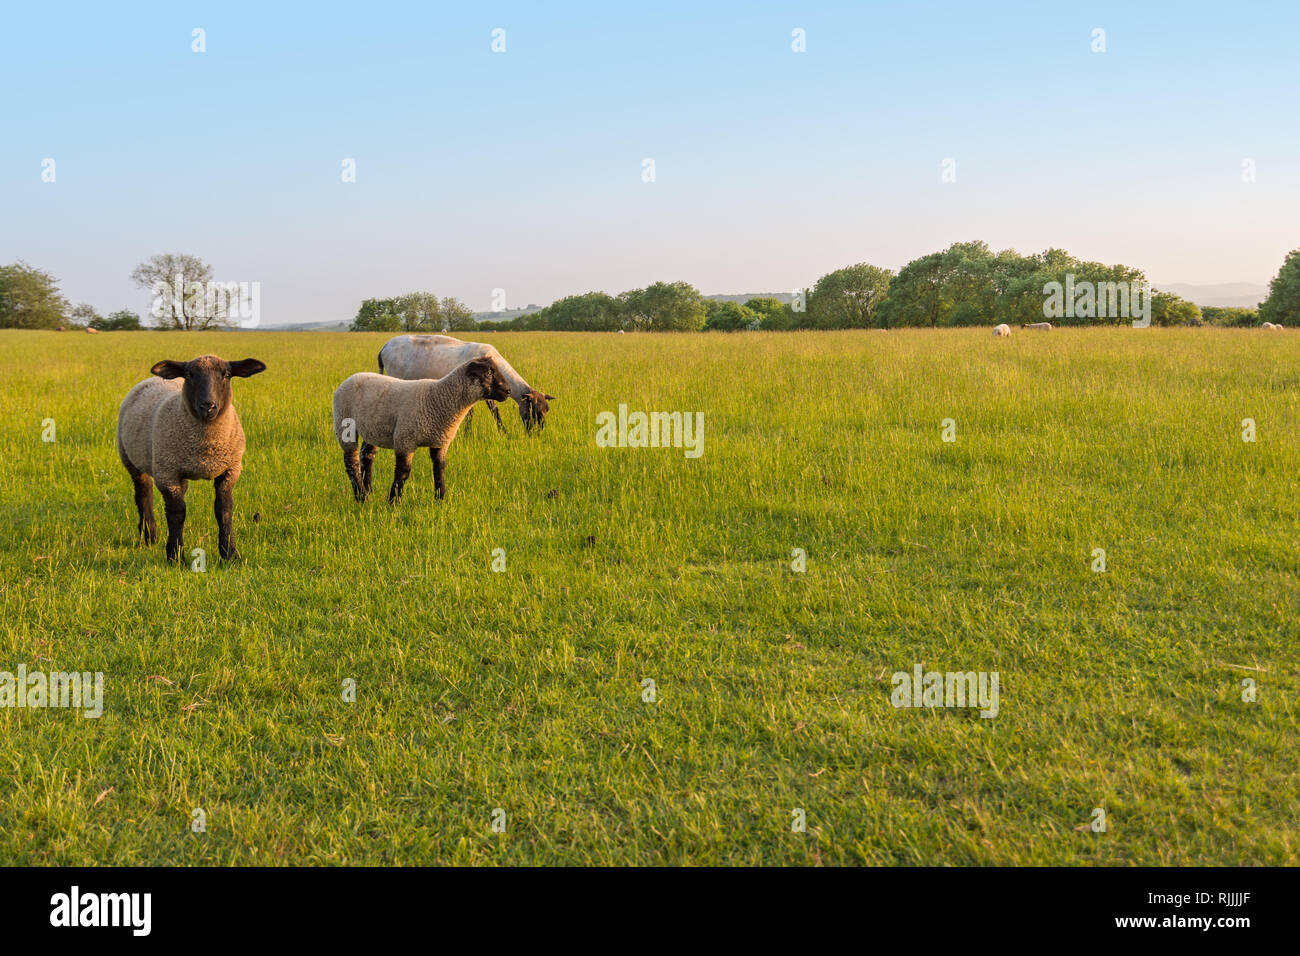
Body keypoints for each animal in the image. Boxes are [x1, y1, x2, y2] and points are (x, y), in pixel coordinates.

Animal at [116, 355, 267, 562]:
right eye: (189, 375)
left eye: (227, 375)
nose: (208, 406)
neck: (205, 450)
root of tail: (152, 379)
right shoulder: (167, 472)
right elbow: (177, 513)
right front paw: (175, 555)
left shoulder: (230, 470)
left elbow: (224, 510)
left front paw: (230, 553)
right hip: (132, 459)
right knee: (143, 495)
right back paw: (149, 536)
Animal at [333, 356, 510, 503]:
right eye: (489, 373)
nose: (508, 391)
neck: (439, 398)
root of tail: (352, 377)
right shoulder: (405, 439)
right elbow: (403, 472)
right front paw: (393, 502)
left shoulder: (440, 442)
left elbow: (439, 469)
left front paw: (440, 500)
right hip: (344, 424)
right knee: (351, 462)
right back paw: (361, 497)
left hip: (372, 428)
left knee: (367, 456)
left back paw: (368, 492)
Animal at [377, 334, 554, 436]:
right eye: (535, 412)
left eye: (547, 410)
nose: (537, 435)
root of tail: (384, 347)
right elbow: (490, 412)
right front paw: (503, 433)